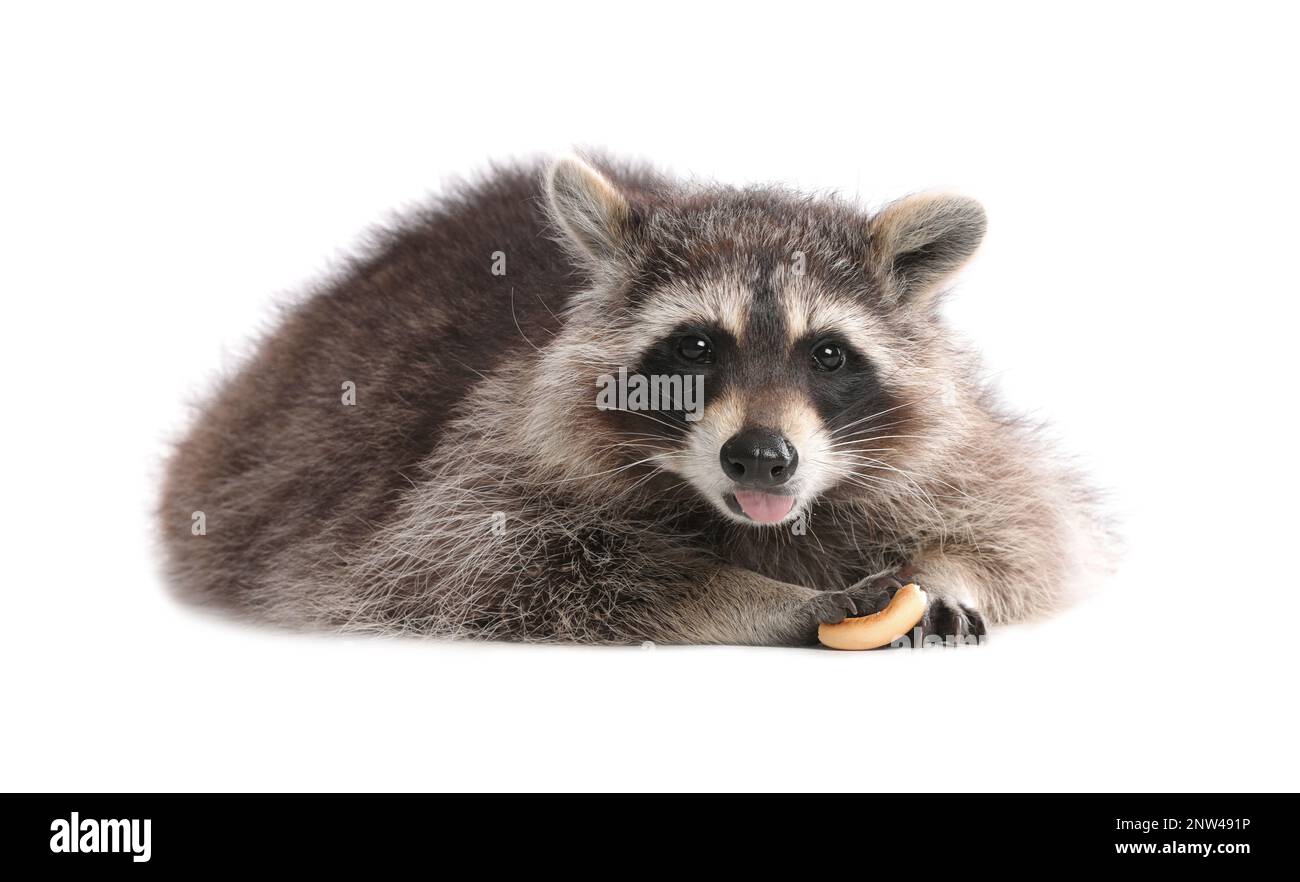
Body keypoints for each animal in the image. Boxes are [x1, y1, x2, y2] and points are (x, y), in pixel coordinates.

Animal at [158, 155, 1108, 646]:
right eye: (696, 347)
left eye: (829, 354)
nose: (761, 457)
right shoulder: (477, 475)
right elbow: (512, 573)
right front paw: (762, 598)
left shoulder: (955, 449)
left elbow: (1020, 525)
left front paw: (945, 569)